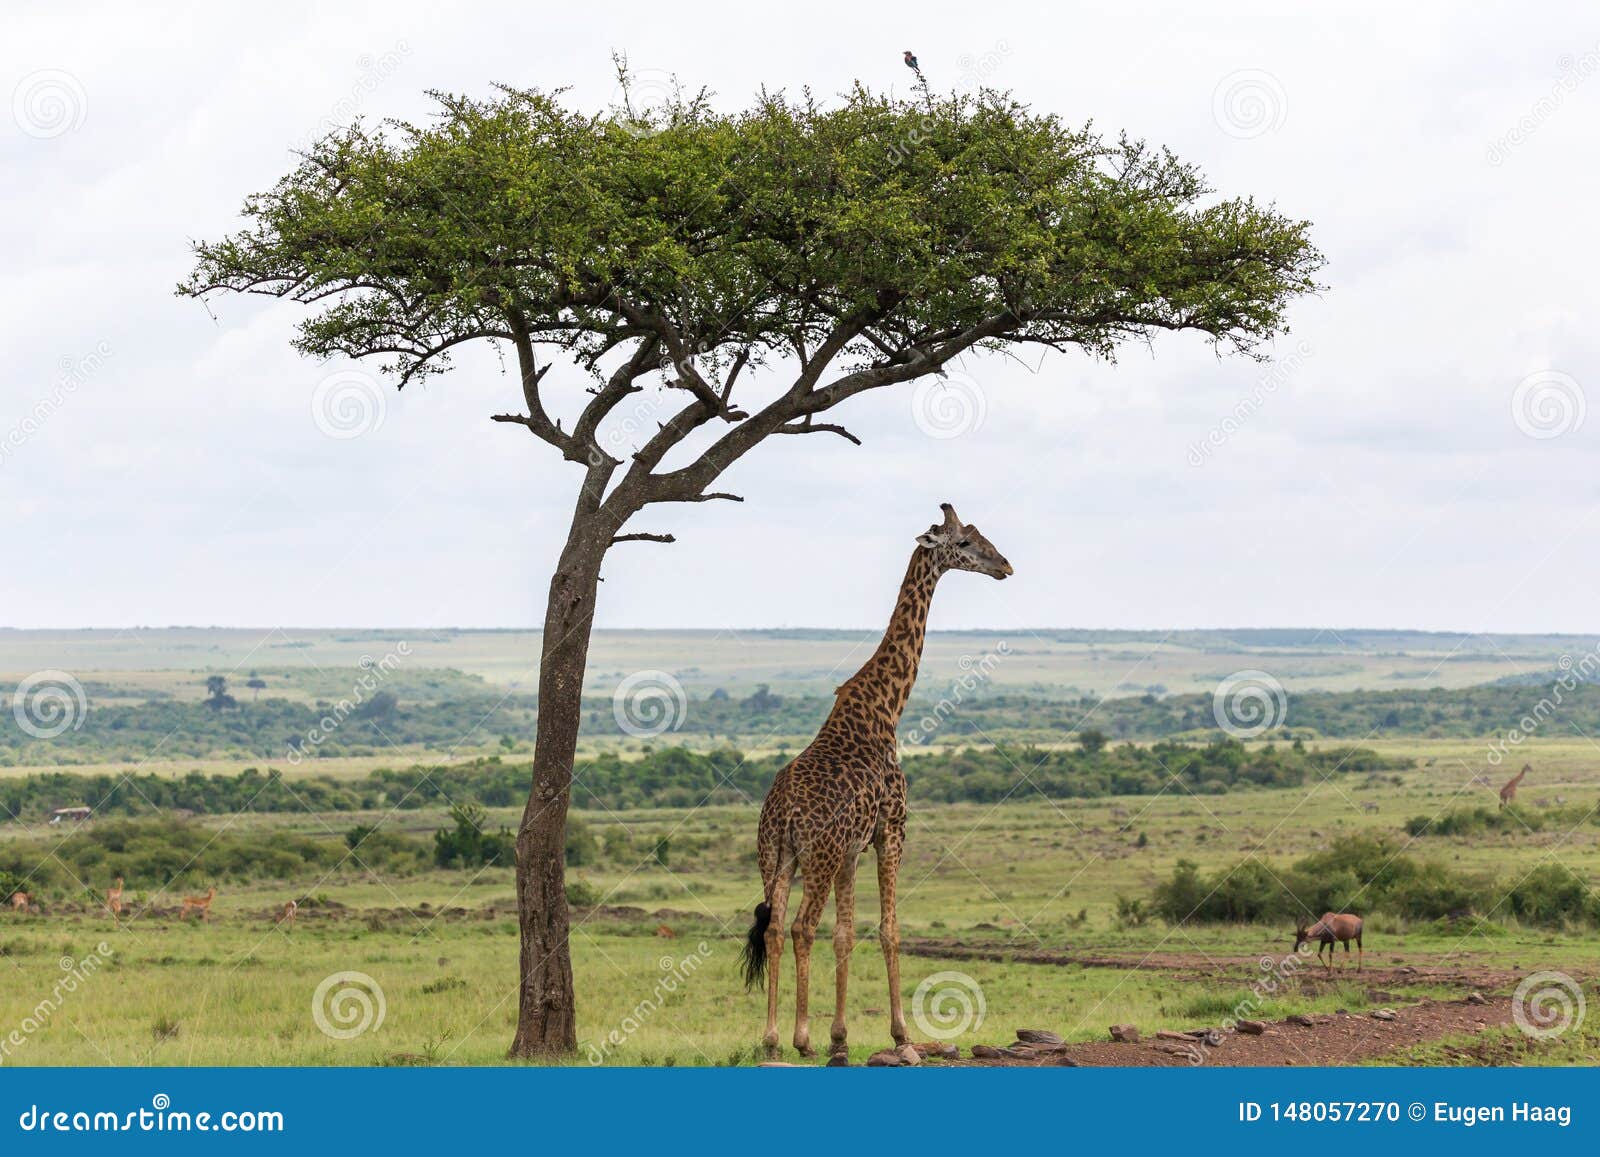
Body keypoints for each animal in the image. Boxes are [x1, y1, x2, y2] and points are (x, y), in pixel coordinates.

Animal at [740, 504, 1012, 1058]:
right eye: (965, 543)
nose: (1005, 567)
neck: (886, 708)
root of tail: (786, 812)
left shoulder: (850, 849)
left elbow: (845, 933)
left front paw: (840, 1036)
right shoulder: (893, 830)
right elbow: (889, 929)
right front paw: (901, 1034)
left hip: (775, 854)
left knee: (775, 928)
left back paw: (773, 1039)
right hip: (816, 856)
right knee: (801, 926)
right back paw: (799, 1039)